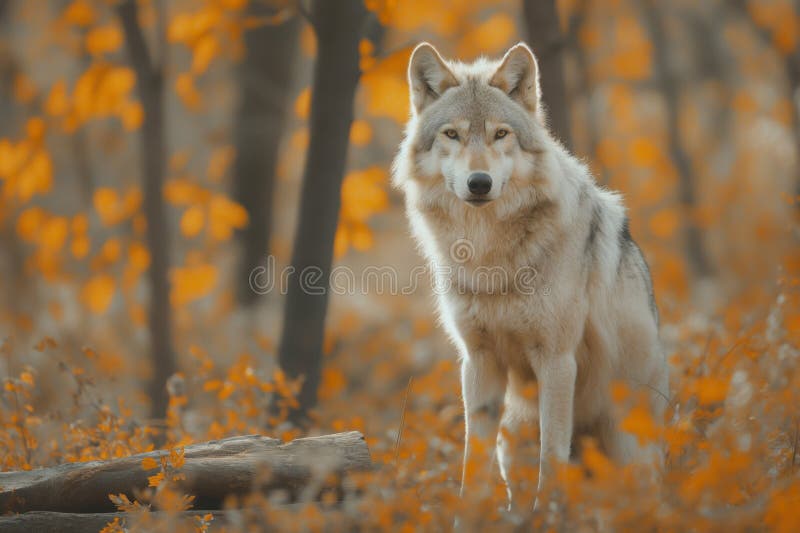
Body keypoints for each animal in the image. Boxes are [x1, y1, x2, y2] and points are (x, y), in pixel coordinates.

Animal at [392, 42, 668, 509]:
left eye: (501, 134)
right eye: (452, 134)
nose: (479, 182)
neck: (489, 255)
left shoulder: (556, 360)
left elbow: (551, 460)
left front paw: (548, 517)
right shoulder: (478, 362)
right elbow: (471, 470)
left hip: (624, 440)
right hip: (513, 436)